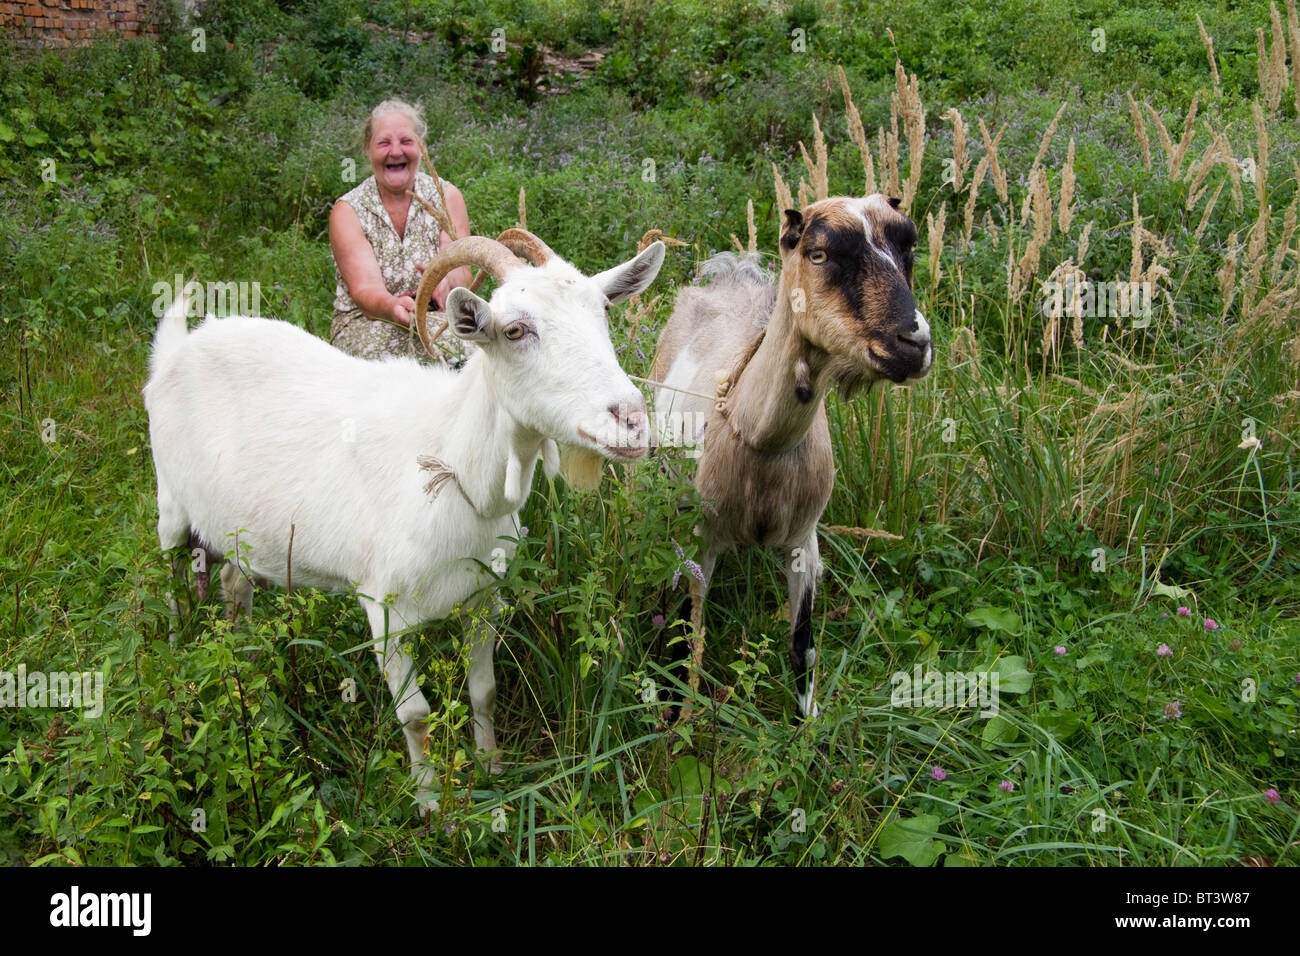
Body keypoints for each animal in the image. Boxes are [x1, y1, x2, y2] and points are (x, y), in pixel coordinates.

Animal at [145, 230, 666, 813]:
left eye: (603, 312)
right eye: (515, 330)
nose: (631, 419)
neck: (452, 465)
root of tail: (177, 349)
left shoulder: (483, 598)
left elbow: (483, 690)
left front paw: (491, 767)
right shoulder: (384, 610)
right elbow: (414, 716)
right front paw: (430, 802)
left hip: (241, 529)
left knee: (235, 585)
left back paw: (248, 659)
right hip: (170, 504)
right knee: (172, 588)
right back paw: (174, 664)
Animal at [651, 194, 931, 718]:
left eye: (910, 245)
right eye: (817, 253)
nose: (913, 344)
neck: (761, 439)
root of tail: (732, 271)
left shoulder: (805, 539)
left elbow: (804, 648)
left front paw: (809, 727)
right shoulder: (701, 541)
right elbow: (687, 645)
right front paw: (677, 722)